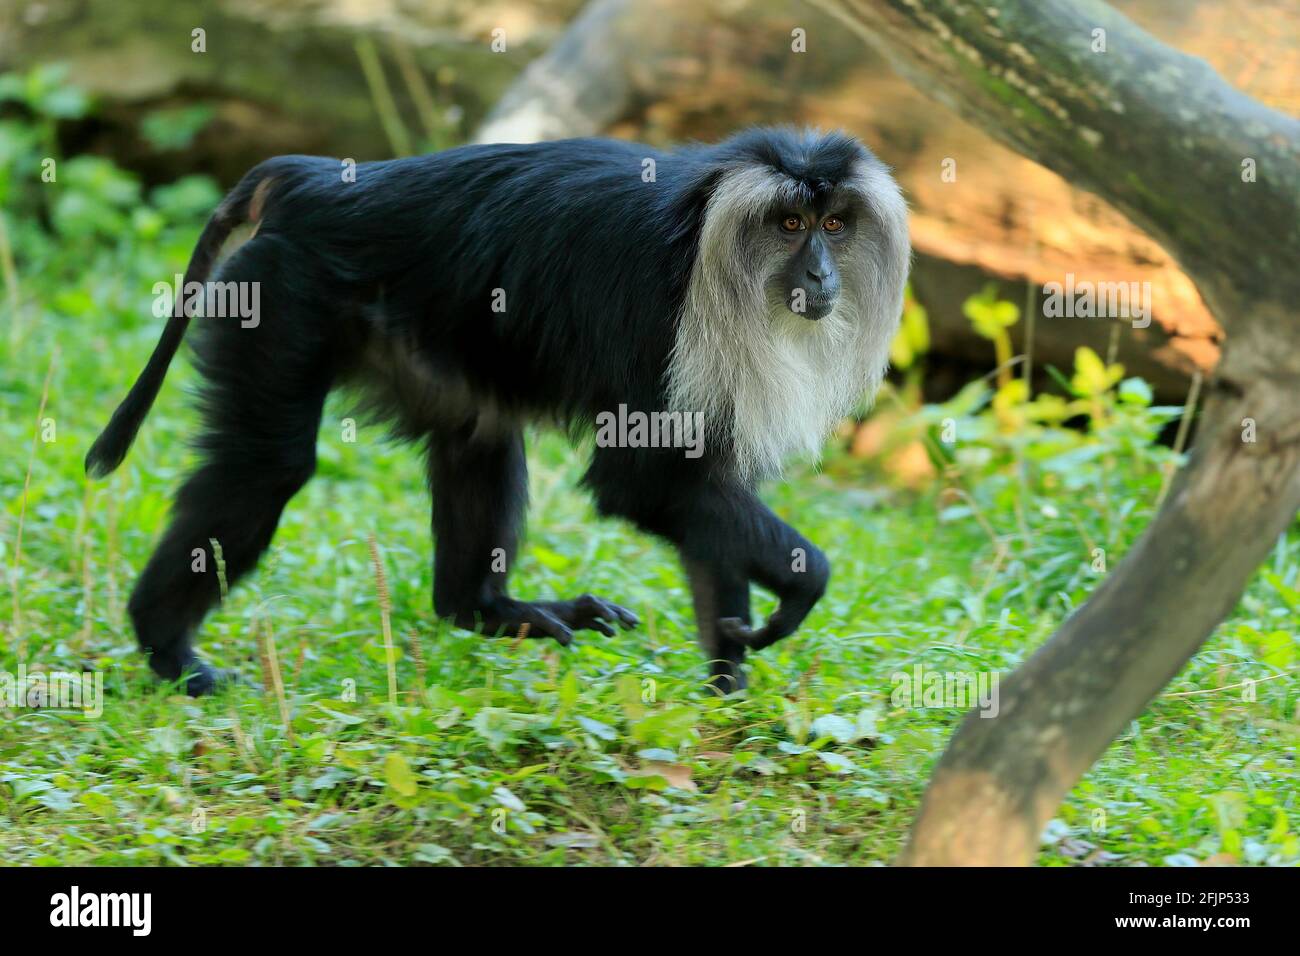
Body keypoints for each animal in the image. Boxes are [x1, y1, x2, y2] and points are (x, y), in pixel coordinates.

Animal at [85, 126, 910, 696]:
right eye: (790, 226)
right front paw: (801, 585)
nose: (821, 275)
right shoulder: (656, 316)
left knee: (476, 437)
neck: (707, 232)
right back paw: (165, 647)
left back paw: (480, 608)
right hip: (281, 293)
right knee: (266, 467)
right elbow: (642, 484)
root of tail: (313, 180)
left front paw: (726, 696)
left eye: (835, 225)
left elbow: (699, 493)